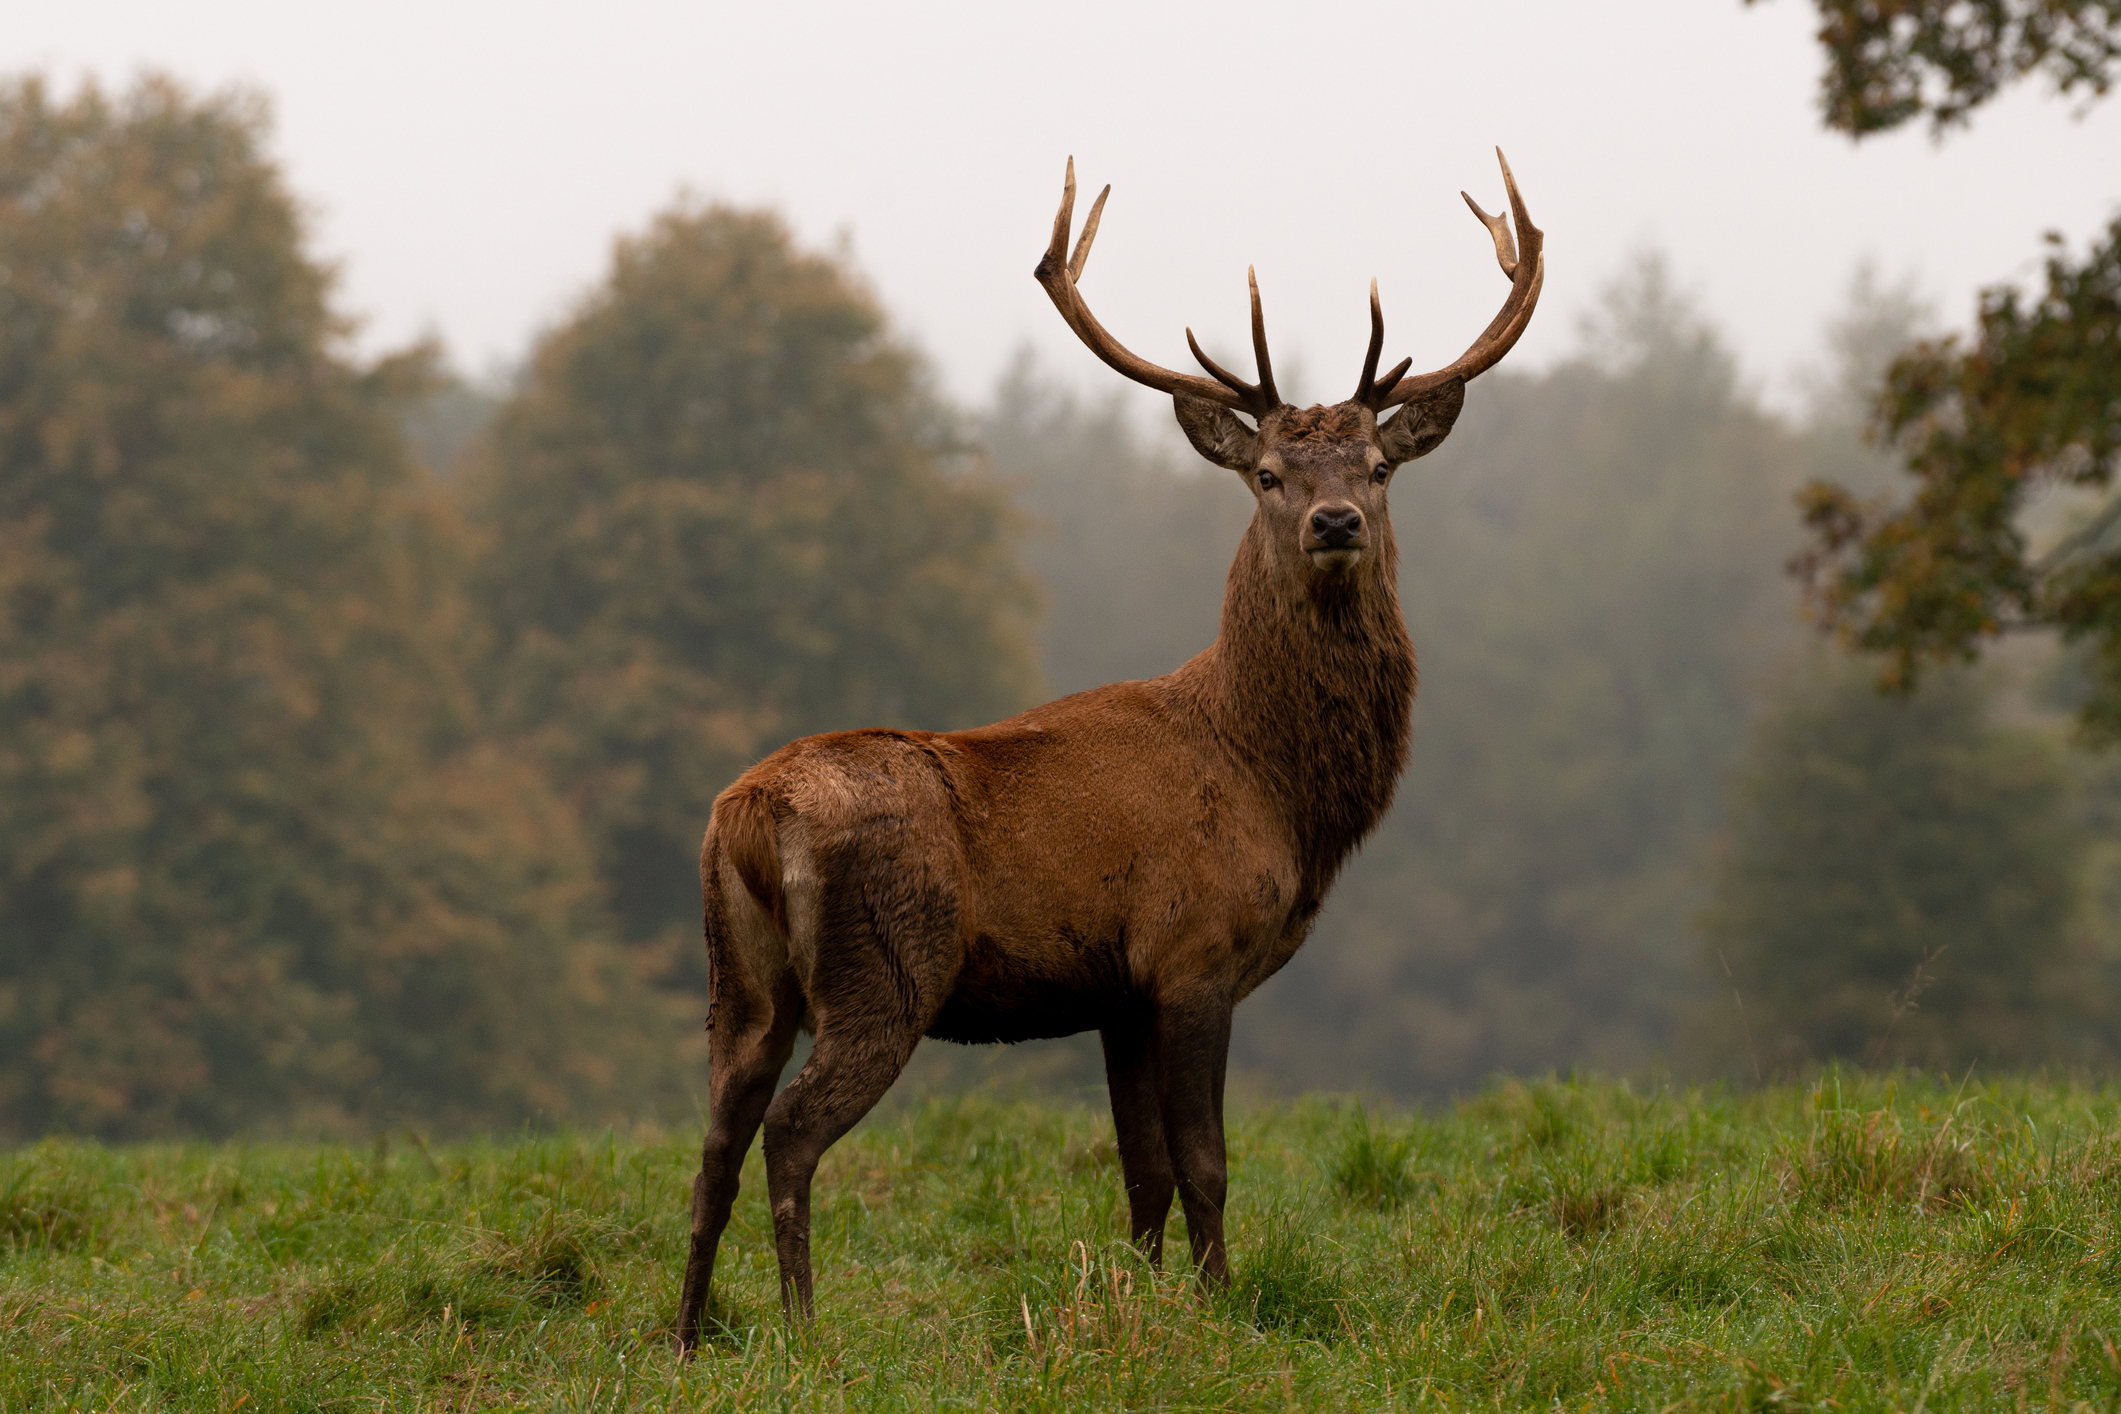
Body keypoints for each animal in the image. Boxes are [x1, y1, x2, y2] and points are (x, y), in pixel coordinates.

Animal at [674, 151, 1543, 1346]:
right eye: (1267, 475)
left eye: (1377, 466)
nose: (1333, 523)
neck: (1276, 786)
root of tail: (746, 816)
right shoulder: (1192, 952)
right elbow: (1206, 1162)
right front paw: (1222, 1310)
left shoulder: (1118, 993)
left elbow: (1143, 1172)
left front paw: (1138, 1307)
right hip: (883, 963)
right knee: (792, 1130)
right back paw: (806, 1331)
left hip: (738, 977)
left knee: (713, 1136)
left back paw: (685, 1335)